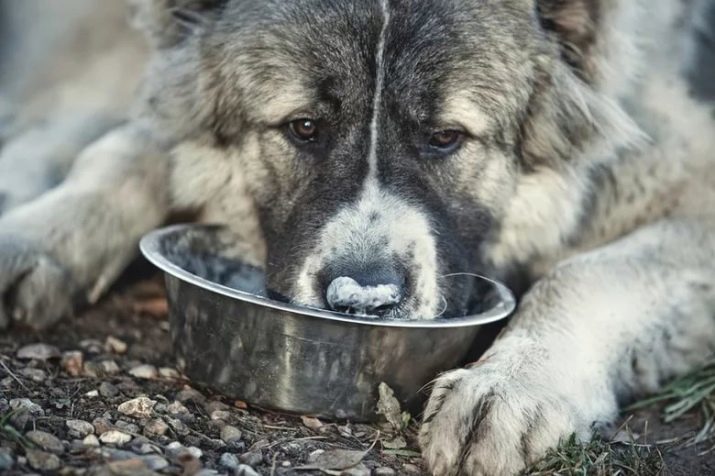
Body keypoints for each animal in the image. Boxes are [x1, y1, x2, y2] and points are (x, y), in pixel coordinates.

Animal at [1, 0, 715, 474]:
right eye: (304, 127)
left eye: (445, 137)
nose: (363, 301)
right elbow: (124, 151)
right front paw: (37, 234)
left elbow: (584, 274)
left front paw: (511, 388)